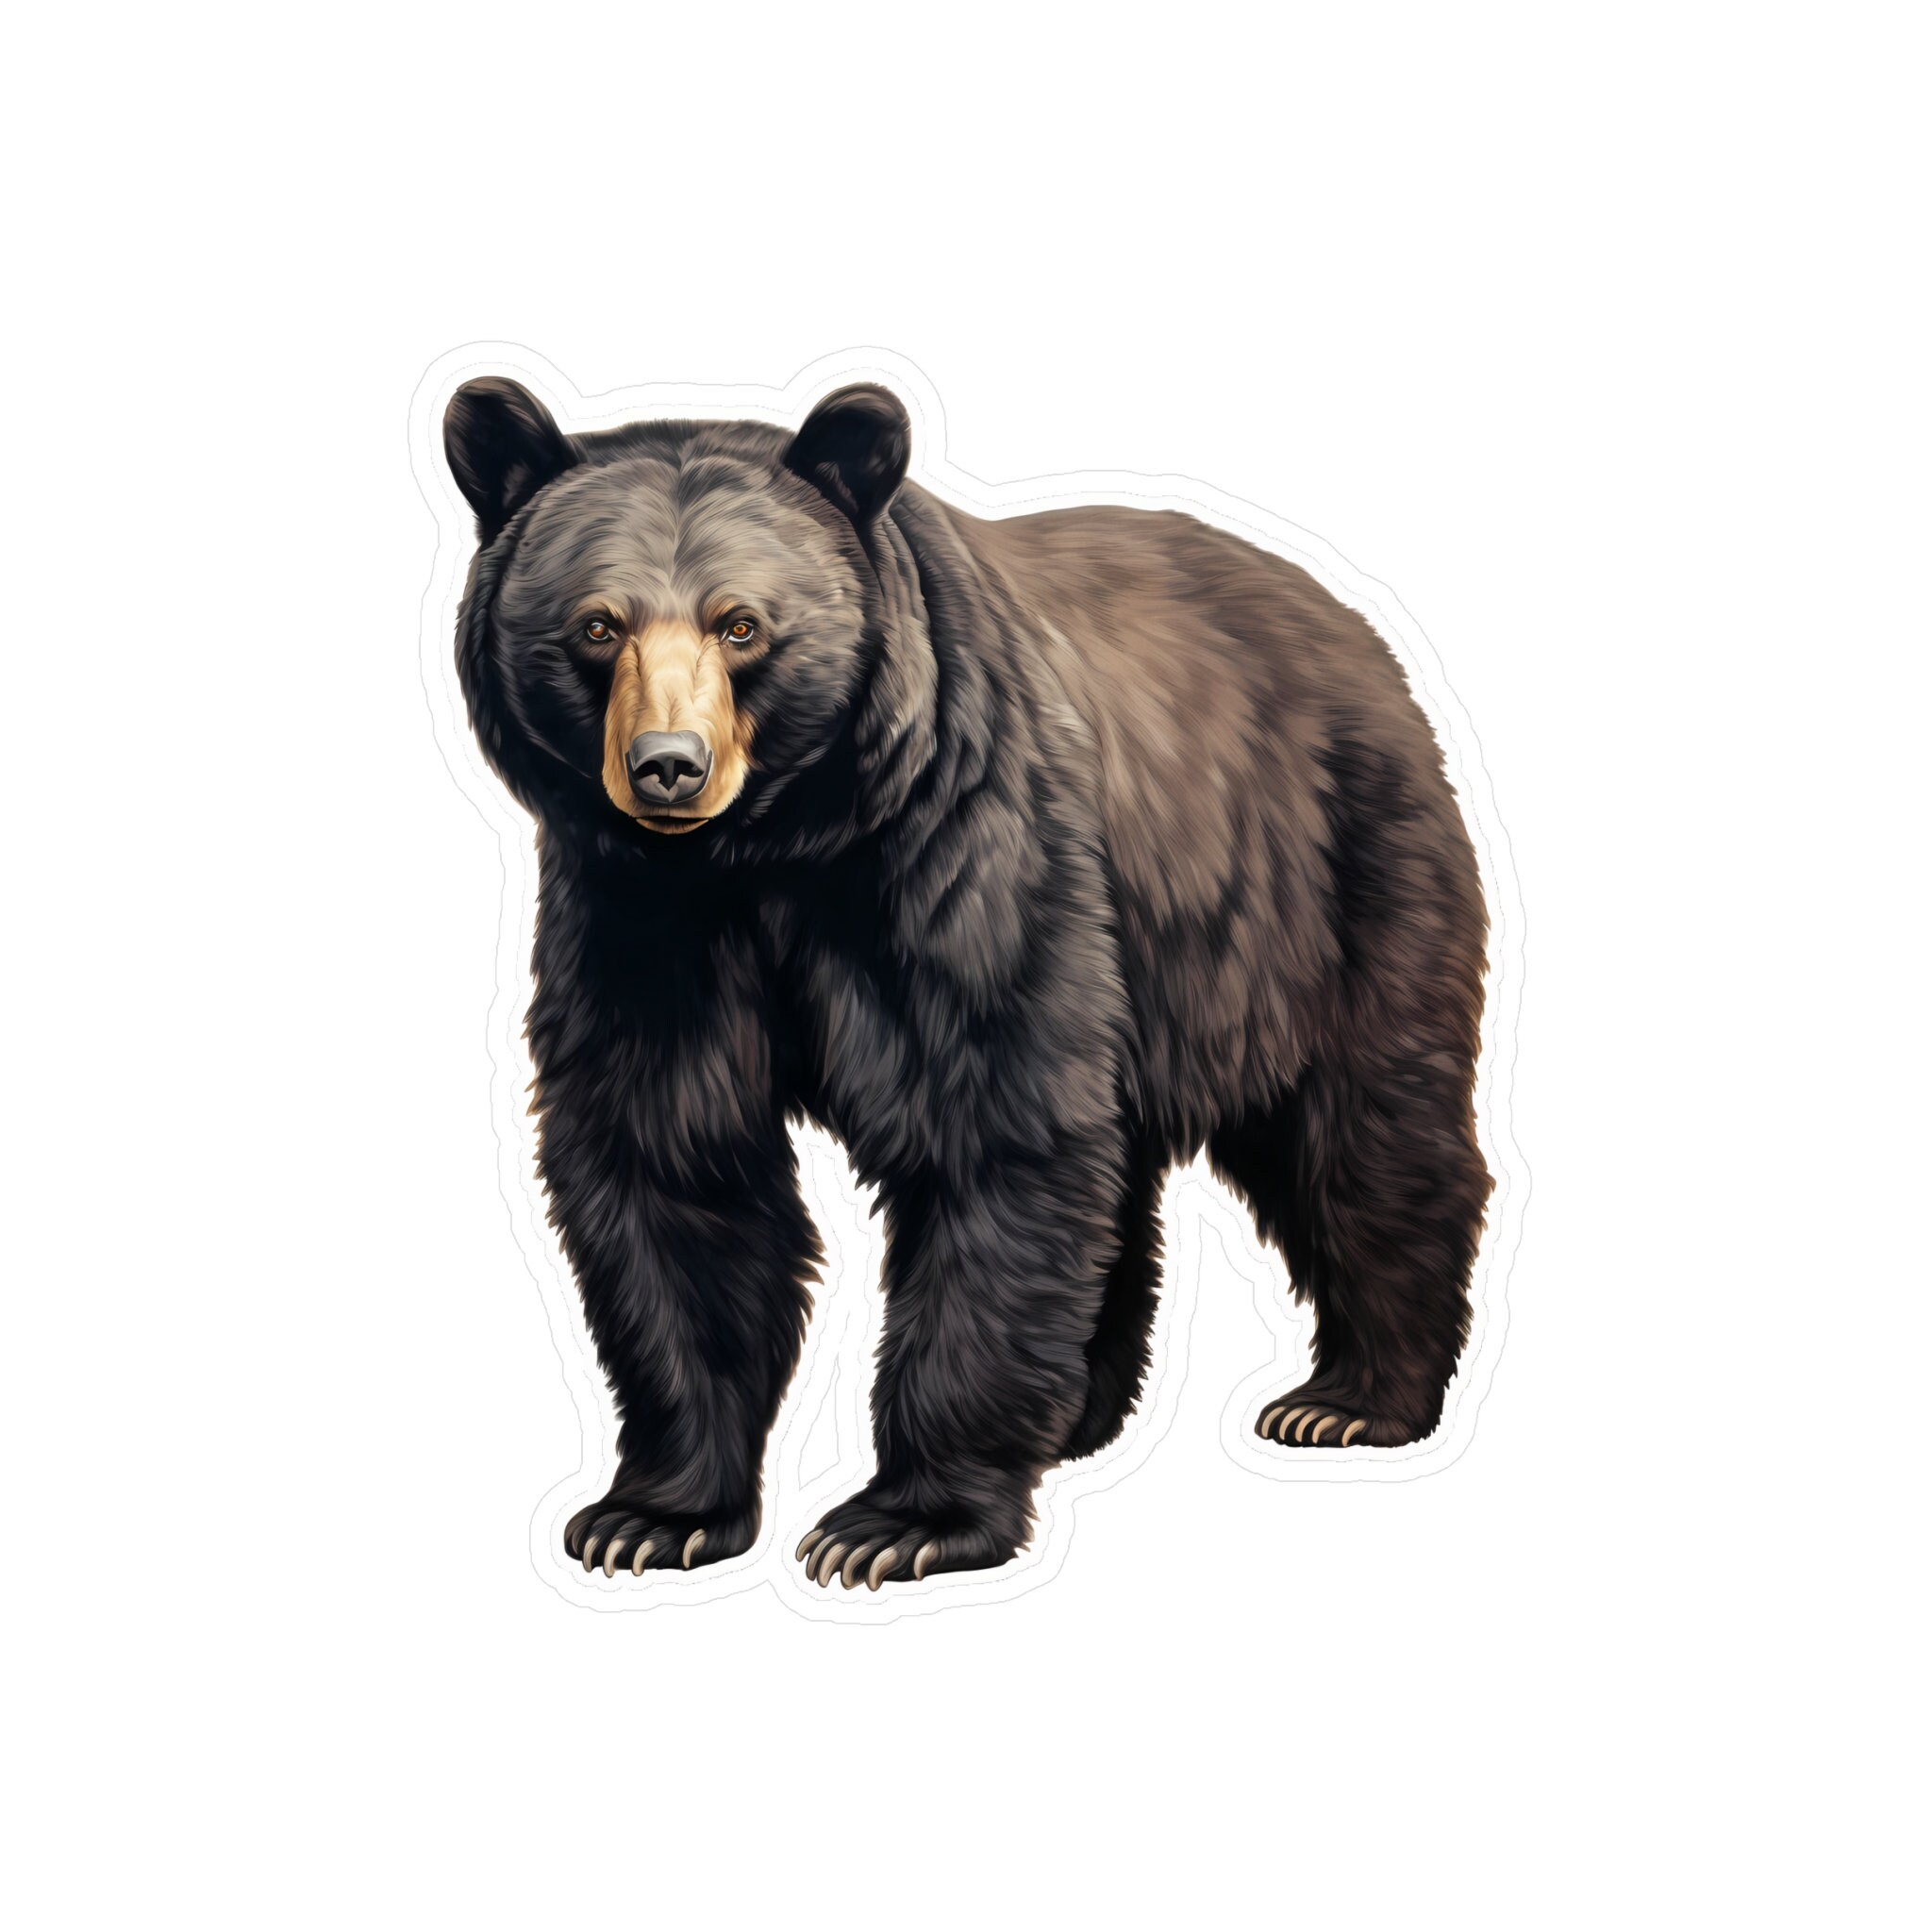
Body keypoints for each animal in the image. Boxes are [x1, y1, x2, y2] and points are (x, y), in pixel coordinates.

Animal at [443, 377, 1492, 1589]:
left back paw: (1350, 1398)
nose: (668, 765)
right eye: (597, 623)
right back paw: (1079, 1411)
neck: (768, 852)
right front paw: (651, 1512)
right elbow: (669, 1152)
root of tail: (1350, 628)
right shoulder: (638, 916)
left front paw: (897, 1522)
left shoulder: (958, 847)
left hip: (1320, 884)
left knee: (1355, 1120)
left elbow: (987, 1122)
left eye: (740, 622)